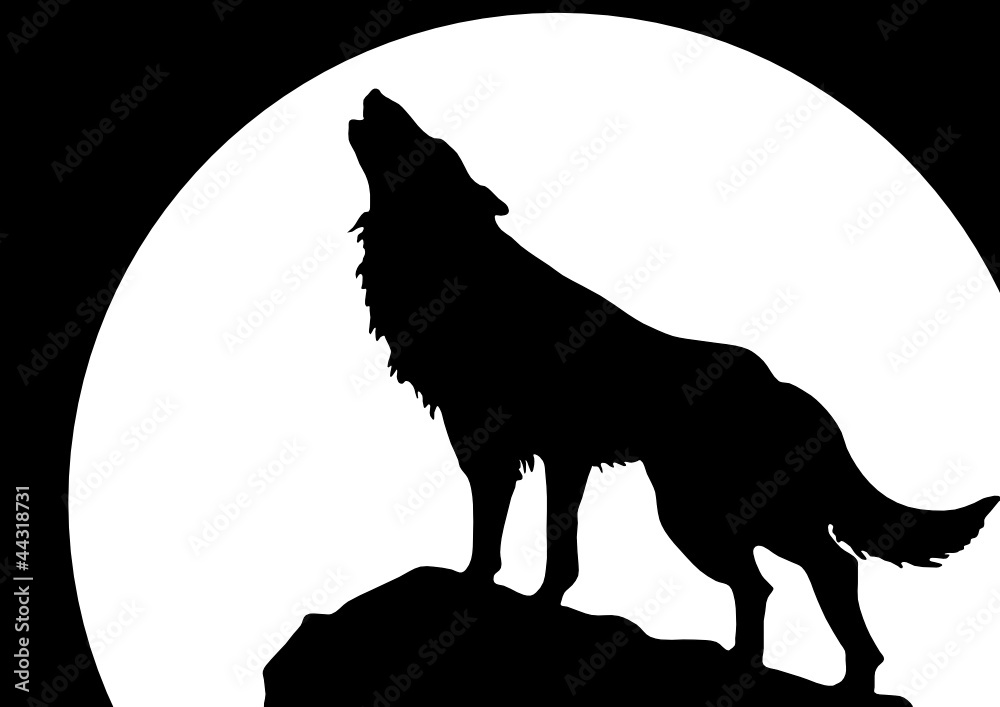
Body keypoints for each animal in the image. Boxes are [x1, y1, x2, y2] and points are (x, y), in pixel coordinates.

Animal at [346, 88, 998, 696]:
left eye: (430, 146)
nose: (377, 95)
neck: (461, 275)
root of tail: (793, 393)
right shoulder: (502, 446)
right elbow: (508, 535)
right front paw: (495, 588)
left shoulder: (552, 450)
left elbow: (544, 543)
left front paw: (516, 598)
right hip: (723, 516)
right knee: (785, 579)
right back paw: (763, 667)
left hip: (701, 515)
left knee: (813, 573)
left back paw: (826, 677)